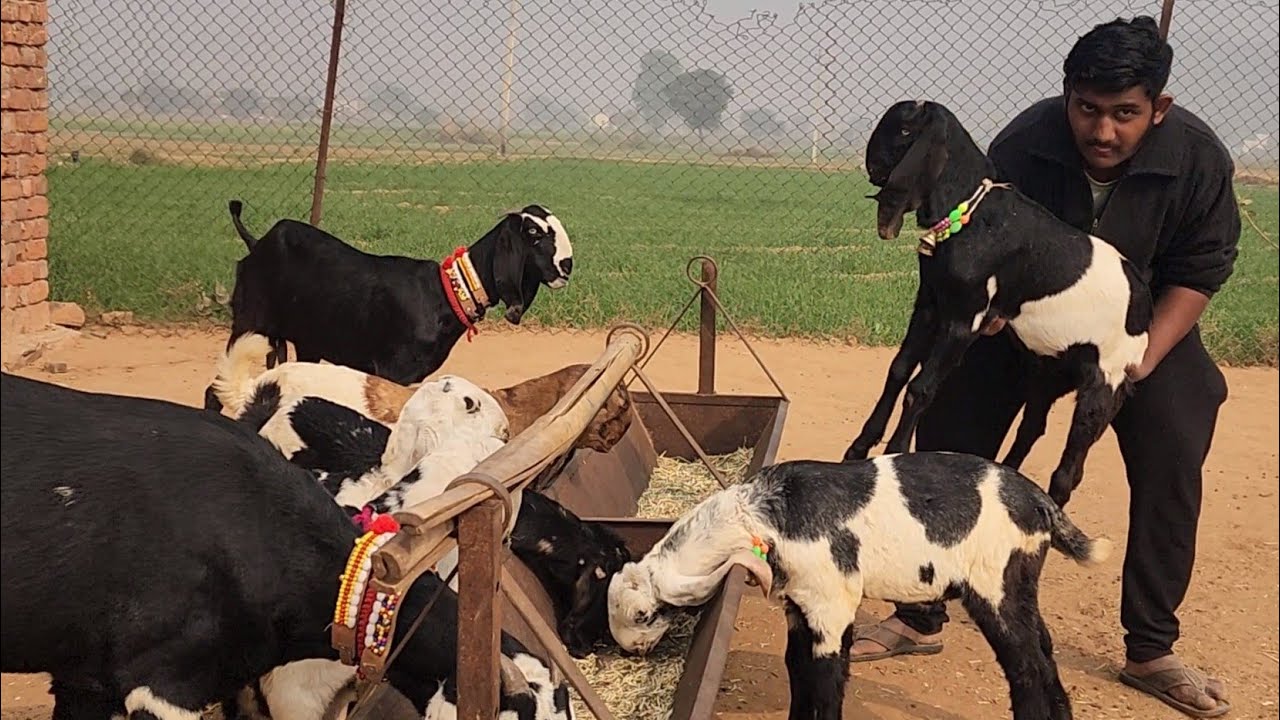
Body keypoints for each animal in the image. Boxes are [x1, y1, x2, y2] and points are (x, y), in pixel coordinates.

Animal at [202, 199, 574, 411]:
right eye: (534, 233)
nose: (567, 265)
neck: (445, 293)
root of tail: (256, 244)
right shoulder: (391, 370)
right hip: (248, 322)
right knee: (214, 391)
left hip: (304, 343)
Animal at [607, 452, 1112, 720]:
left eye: (644, 614)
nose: (634, 651)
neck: (760, 515)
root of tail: (1040, 503)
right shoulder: (801, 607)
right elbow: (798, 670)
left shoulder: (832, 607)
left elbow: (826, 680)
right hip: (1021, 588)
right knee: (1045, 655)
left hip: (995, 591)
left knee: (1028, 669)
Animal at [841, 100, 1151, 508]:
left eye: (904, 129)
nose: (871, 162)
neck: (972, 213)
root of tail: (1145, 305)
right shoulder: (930, 304)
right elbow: (898, 370)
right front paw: (859, 447)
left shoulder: (965, 319)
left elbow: (921, 387)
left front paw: (896, 453)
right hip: (1048, 374)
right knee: (1031, 429)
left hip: (1104, 384)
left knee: (1069, 471)